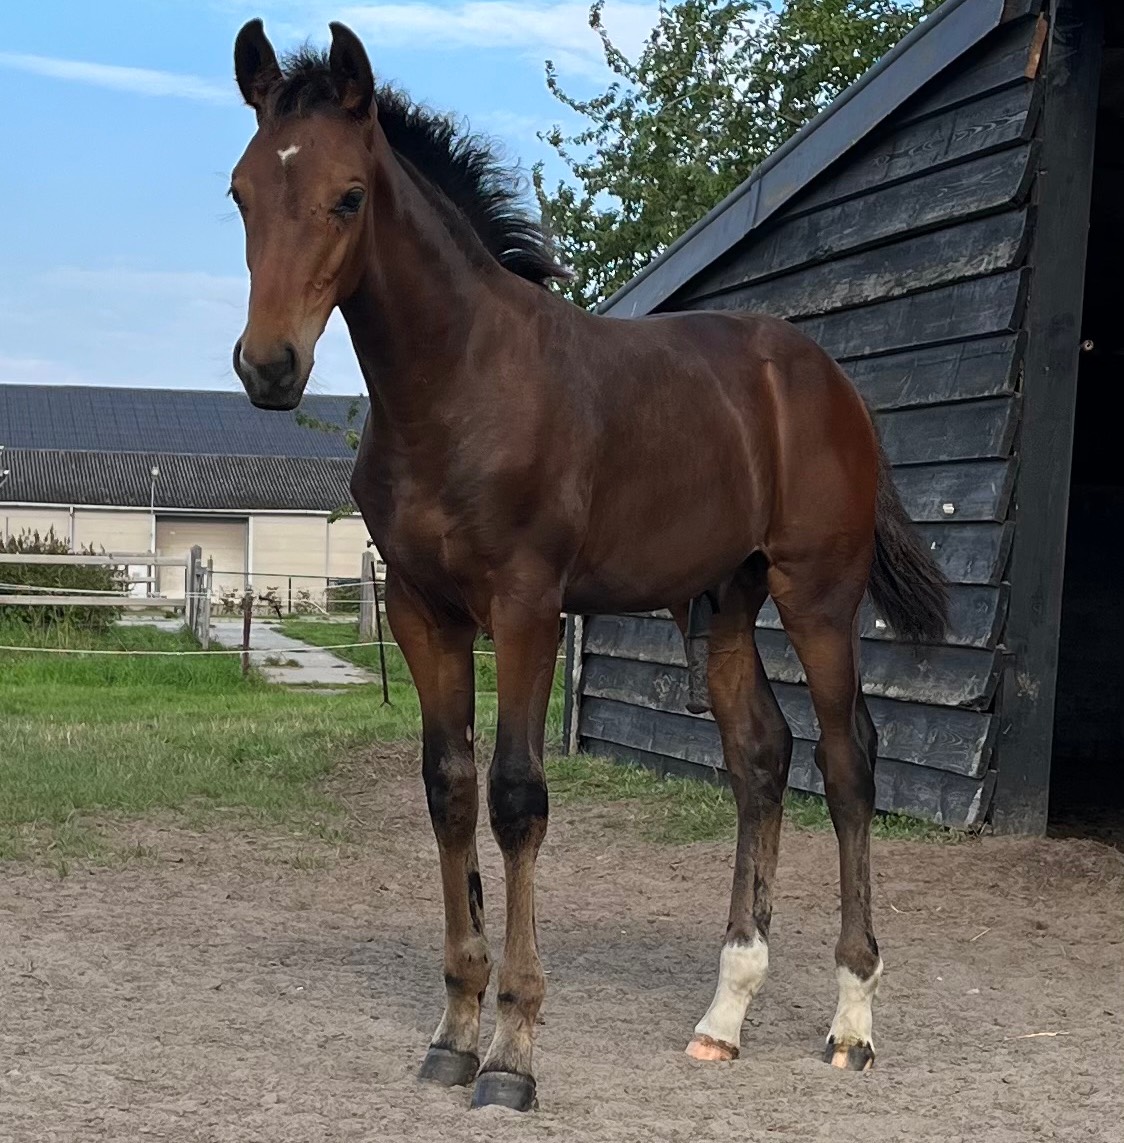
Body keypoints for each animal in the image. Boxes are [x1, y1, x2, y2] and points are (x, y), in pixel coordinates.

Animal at [227, 19, 948, 1112]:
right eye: (239, 192)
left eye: (347, 196)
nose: (268, 366)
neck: (458, 385)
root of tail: (828, 381)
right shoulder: (422, 610)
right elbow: (448, 789)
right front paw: (452, 1032)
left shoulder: (526, 605)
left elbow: (517, 796)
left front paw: (513, 1053)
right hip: (721, 600)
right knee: (761, 758)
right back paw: (723, 1016)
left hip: (815, 594)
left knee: (847, 761)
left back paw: (851, 1022)